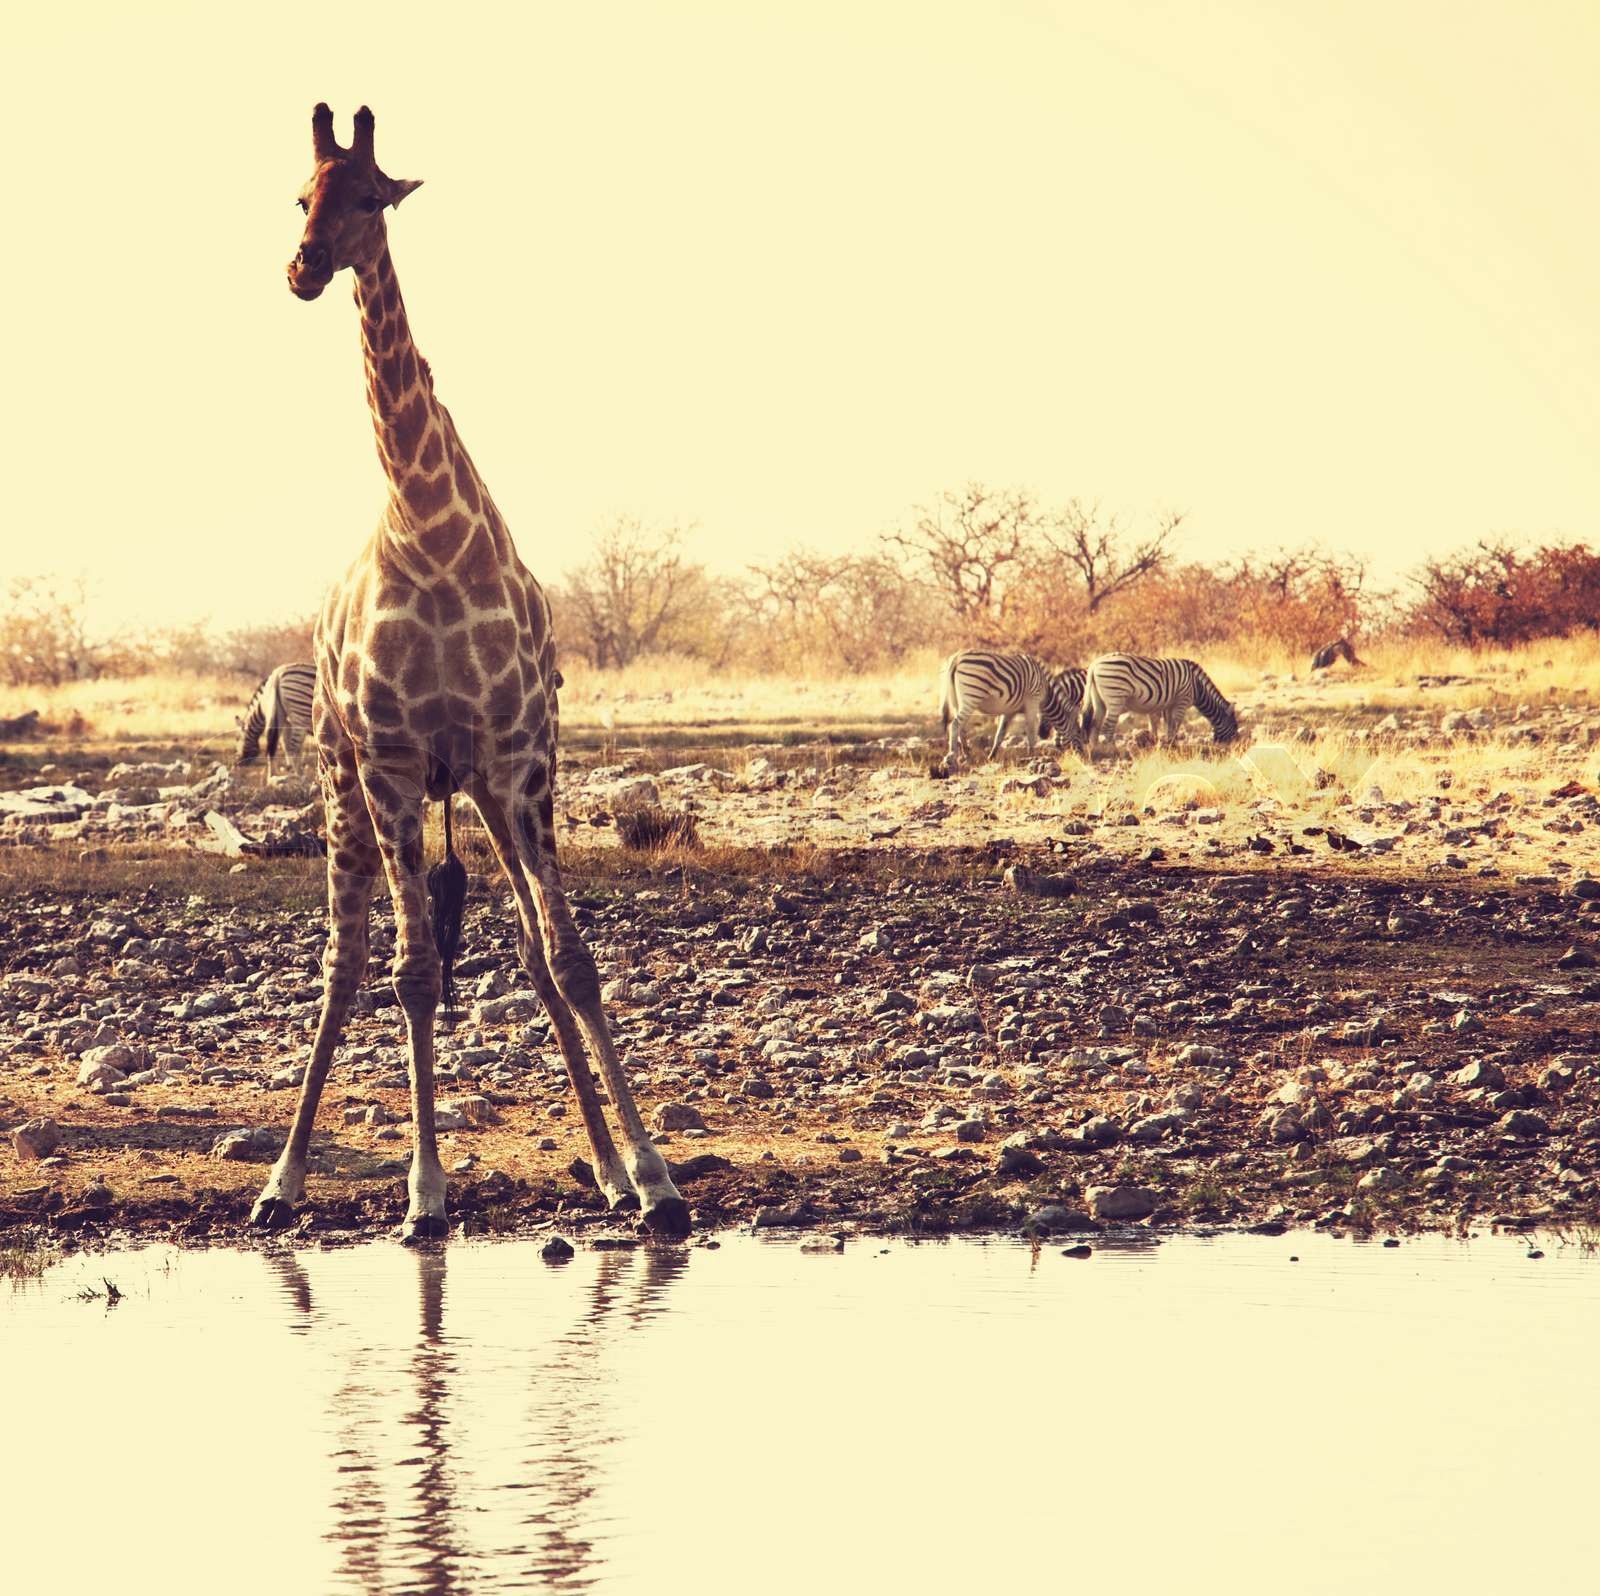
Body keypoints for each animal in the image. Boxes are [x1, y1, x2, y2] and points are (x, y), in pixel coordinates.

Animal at [251, 103, 688, 1240]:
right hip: (341, 779)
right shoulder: (398, 764)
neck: (428, 525)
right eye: (299, 193)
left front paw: (654, 1178)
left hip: (483, 789)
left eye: (370, 196)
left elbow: (568, 960)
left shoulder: (519, 752)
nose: (302, 269)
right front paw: (425, 1192)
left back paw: (609, 1171)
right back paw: (281, 1182)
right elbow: (409, 974)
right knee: (346, 962)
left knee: (529, 953)